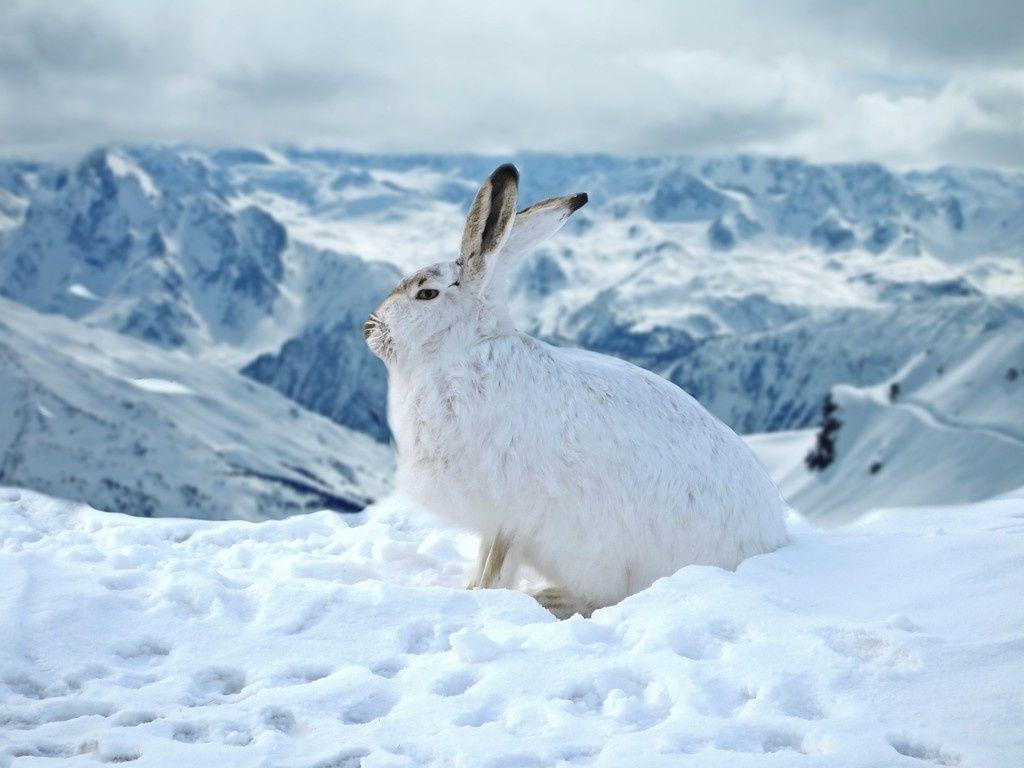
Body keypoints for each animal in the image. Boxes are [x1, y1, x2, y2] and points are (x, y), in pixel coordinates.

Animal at [365, 164, 789, 618]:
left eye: (426, 293)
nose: (369, 330)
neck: (464, 348)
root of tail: (768, 544)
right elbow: (482, 557)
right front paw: (470, 588)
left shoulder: (508, 512)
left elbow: (496, 561)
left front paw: (481, 595)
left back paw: (550, 599)